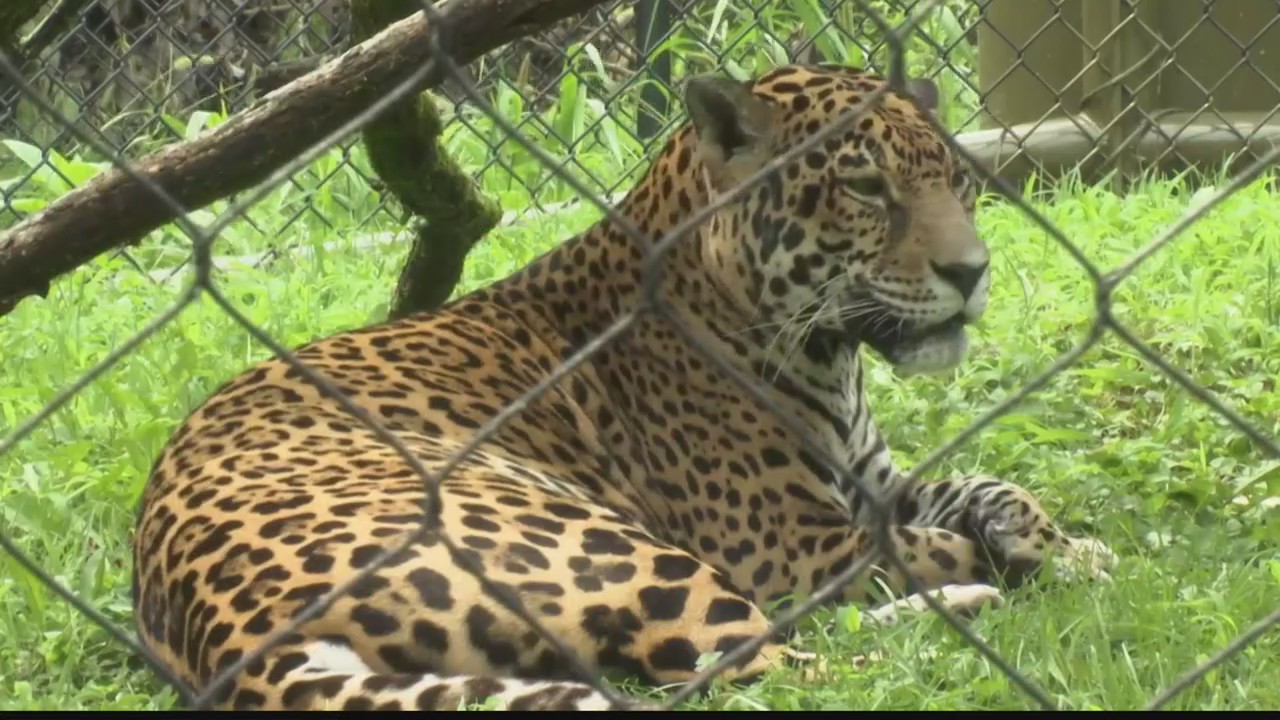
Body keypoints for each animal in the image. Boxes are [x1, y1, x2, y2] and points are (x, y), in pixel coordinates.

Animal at [131, 63, 1115, 711]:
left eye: (957, 182)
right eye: (865, 186)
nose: (972, 272)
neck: (829, 356)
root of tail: (224, 626)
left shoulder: (868, 475)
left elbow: (988, 486)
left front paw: (1062, 542)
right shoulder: (792, 546)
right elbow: (918, 545)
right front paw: (1028, 559)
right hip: (596, 541)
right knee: (769, 671)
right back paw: (971, 608)